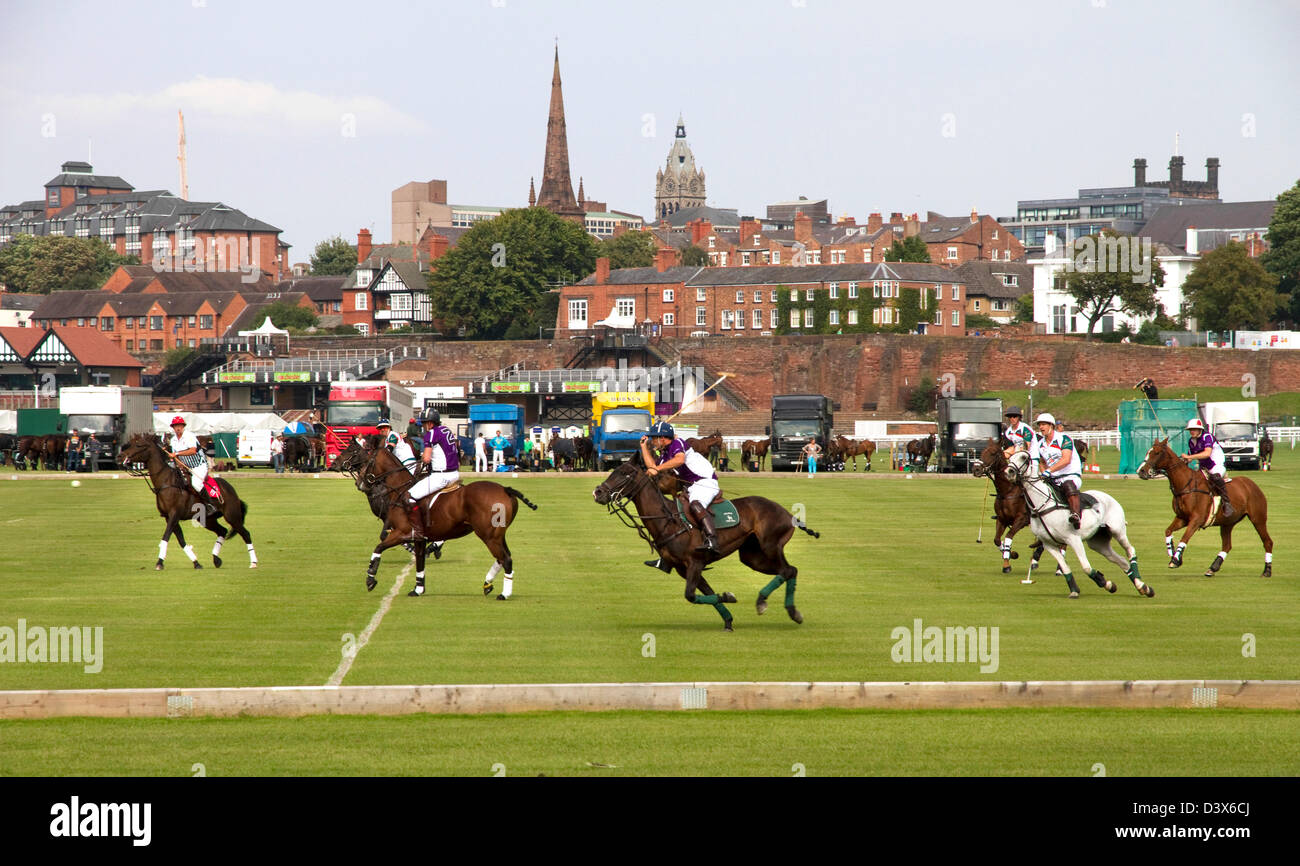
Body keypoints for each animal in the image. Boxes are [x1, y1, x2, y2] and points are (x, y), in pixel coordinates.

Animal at [119, 431, 258, 566]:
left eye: (138, 445)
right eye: (130, 443)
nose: (119, 456)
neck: (166, 482)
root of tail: (231, 490)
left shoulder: (174, 514)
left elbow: (166, 536)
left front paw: (159, 563)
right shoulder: (169, 517)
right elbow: (181, 540)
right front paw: (196, 563)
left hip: (232, 515)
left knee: (245, 534)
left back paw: (253, 562)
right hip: (207, 520)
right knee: (222, 531)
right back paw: (216, 559)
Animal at [345, 434, 538, 598]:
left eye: (366, 460)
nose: (360, 483)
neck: (401, 489)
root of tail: (505, 489)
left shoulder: (402, 532)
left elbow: (379, 547)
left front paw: (370, 579)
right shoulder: (419, 538)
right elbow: (420, 562)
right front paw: (418, 589)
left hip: (488, 535)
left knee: (505, 559)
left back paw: (504, 593)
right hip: (498, 535)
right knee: (503, 558)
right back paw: (487, 584)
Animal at [595, 455, 816, 631]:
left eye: (625, 473)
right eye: (614, 471)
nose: (598, 492)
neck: (668, 520)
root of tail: (789, 515)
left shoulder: (695, 563)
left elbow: (691, 596)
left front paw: (729, 596)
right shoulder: (684, 569)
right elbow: (705, 593)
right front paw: (728, 620)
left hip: (770, 545)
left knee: (787, 570)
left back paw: (767, 603)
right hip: (752, 557)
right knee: (789, 570)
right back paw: (790, 611)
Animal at [998, 447, 1154, 598]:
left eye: (1024, 457)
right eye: (1010, 458)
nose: (1008, 472)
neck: (1042, 506)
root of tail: (1108, 496)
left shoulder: (1073, 539)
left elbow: (1086, 567)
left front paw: (1103, 581)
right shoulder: (1049, 544)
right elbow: (1066, 568)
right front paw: (1078, 589)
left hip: (1118, 530)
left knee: (1130, 551)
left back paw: (1143, 586)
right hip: (1098, 542)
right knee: (1120, 560)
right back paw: (1142, 587)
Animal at [1138, 439, 1268, 572]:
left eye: (1157, 453)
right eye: (1148, 451)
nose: (1141, 471)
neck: (1186, 485)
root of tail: (1252, 484)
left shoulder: (1197, 519)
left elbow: (1184, 538)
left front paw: (1175, 560)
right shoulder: (1182, 518)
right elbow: (1168, 531)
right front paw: (1172, 553)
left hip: (1258, 519)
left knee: (1267, 542)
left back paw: (1267, 570)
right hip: (1228, 523)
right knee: (1227, 545)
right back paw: (1213, 567)